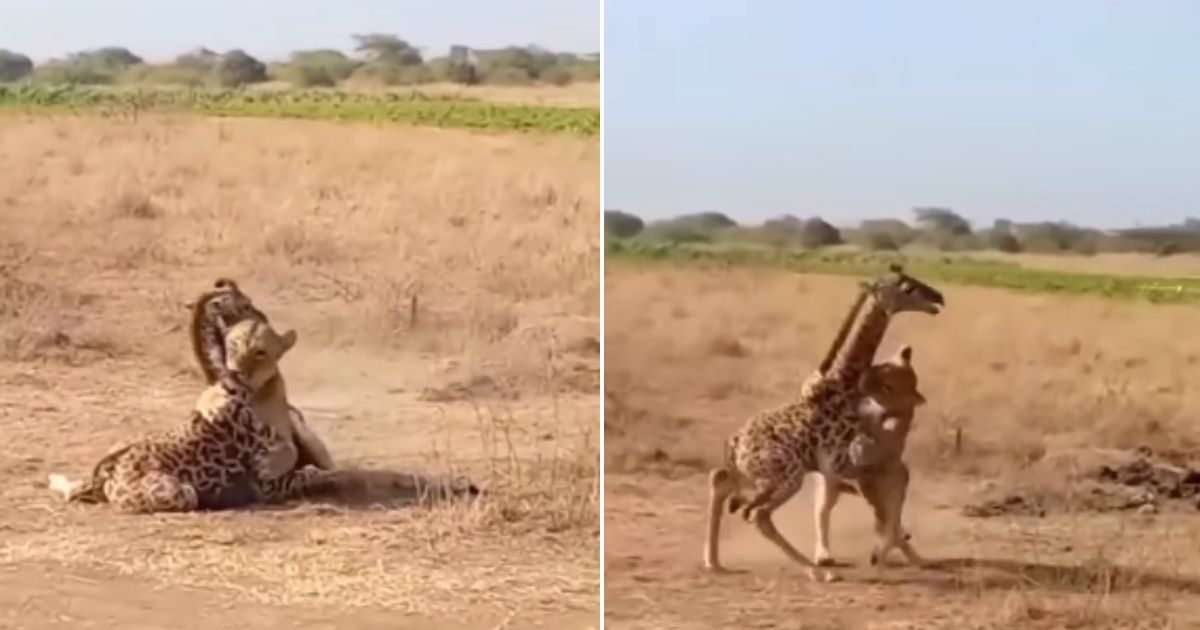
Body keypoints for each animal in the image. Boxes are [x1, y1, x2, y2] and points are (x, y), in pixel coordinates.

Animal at [702, 264, 944, 581]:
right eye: (907, 288)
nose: (938, 298)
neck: (844, 383)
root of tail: (735, 446)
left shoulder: (848, 465)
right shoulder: (843, 463)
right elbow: (878, 500)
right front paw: (881, 552)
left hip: (754, 475)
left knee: (720, 481)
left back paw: (714, 561)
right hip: (789, 476)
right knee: (760, 515)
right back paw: (818, 570)